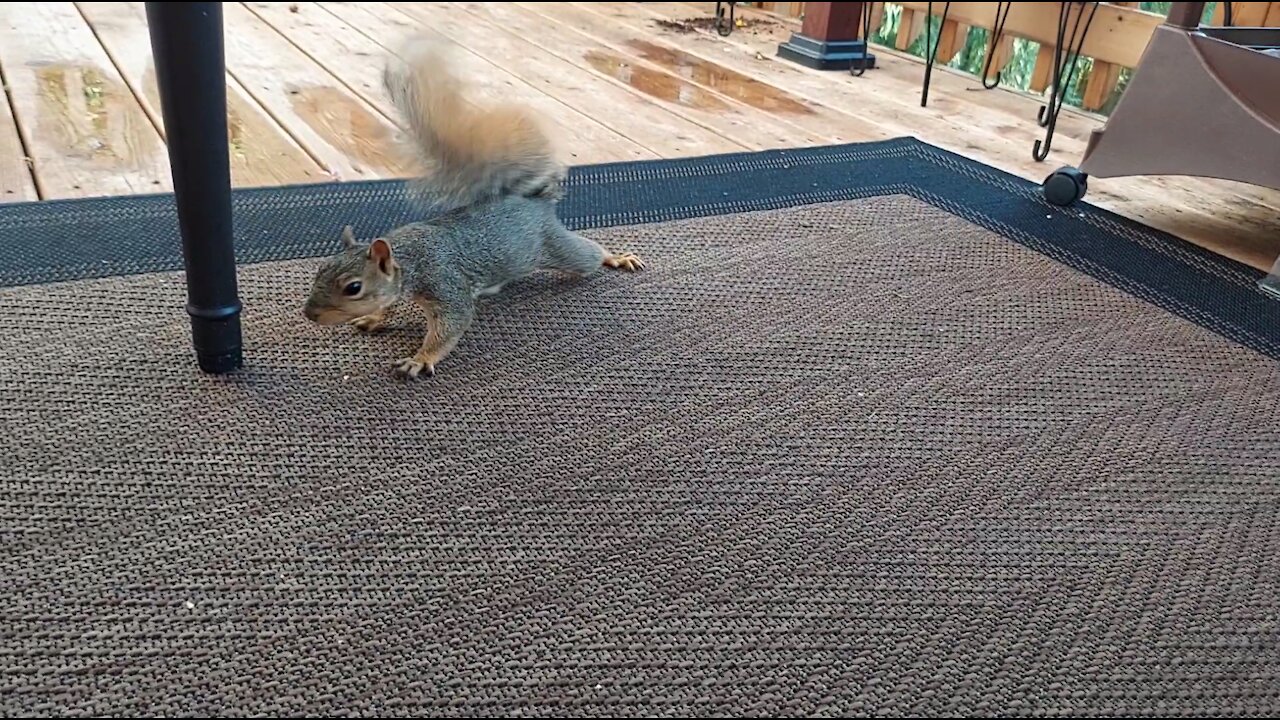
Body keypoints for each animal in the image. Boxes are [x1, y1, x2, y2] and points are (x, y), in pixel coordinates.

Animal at [302, 36, 644, 380]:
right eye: (320, 270)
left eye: (353, 288)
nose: (309, 314)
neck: (410, 259)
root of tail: (532, 201)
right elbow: (388, 304)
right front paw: (374, 318)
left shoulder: (445, 284)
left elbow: (452, 325)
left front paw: (420, 359)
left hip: (557, 246)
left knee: (587, 255)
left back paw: (616, 258)